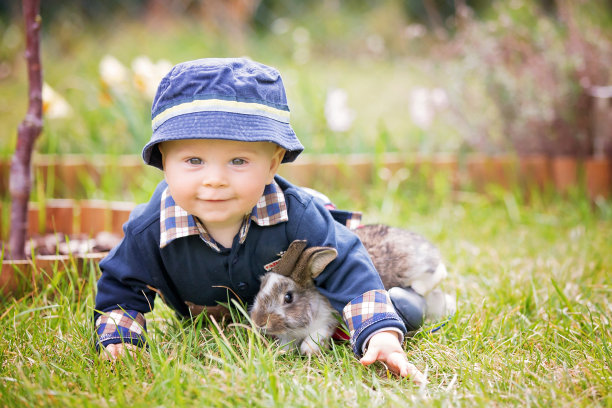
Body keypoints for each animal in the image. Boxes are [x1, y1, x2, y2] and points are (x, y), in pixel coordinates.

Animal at [249, 225, 454, 356]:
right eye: (261, 286)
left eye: (288, 297)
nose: (259, 322)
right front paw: (280, 351)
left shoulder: (327, 321)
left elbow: (318, 334)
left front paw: (309, 350)